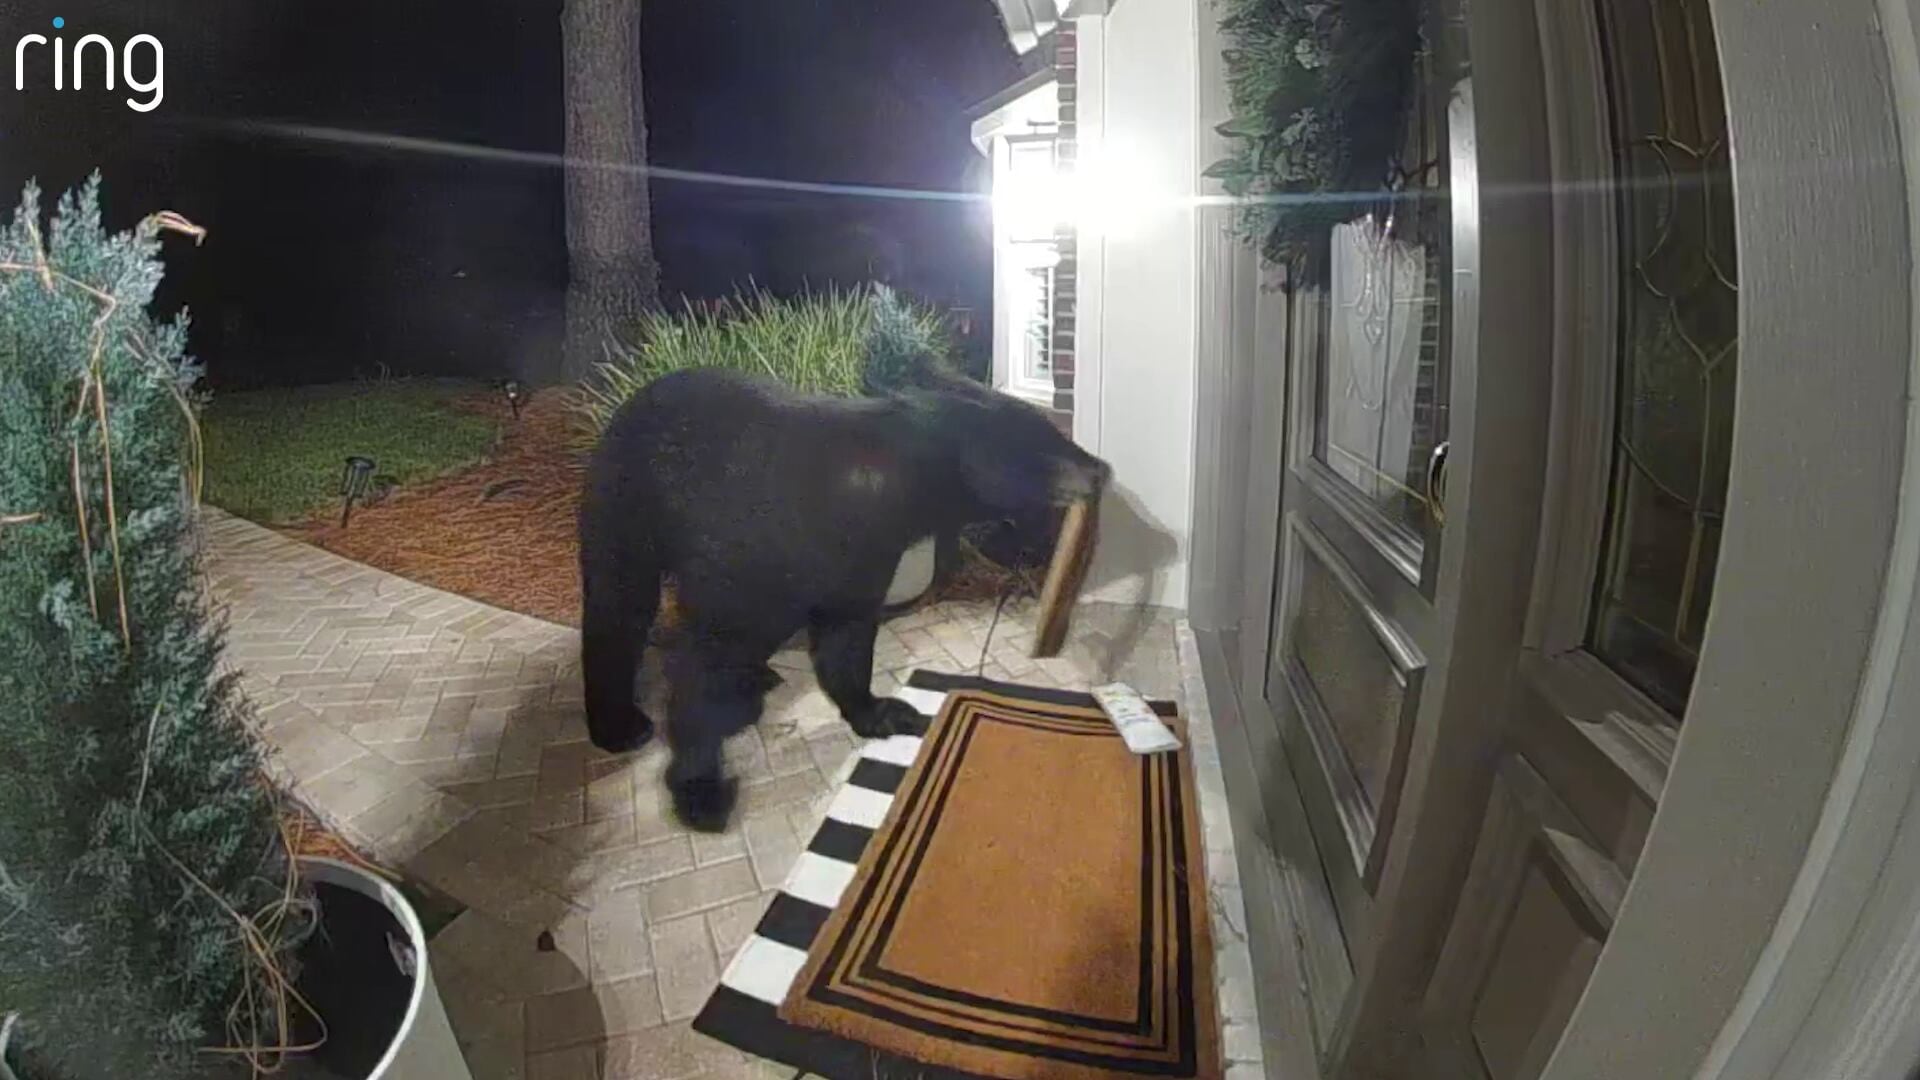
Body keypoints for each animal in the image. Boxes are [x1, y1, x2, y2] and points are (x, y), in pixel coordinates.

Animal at [578, 363, 1110, 832]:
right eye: (1046, 441)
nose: (1101, 468)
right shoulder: (752, 556)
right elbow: (702, 663)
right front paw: (701, 792)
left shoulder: (863, 560)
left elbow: (845, 641)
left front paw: (882, 712)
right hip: (623, 504)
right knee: (619, 604)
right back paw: (620, 724)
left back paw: (754, 681)